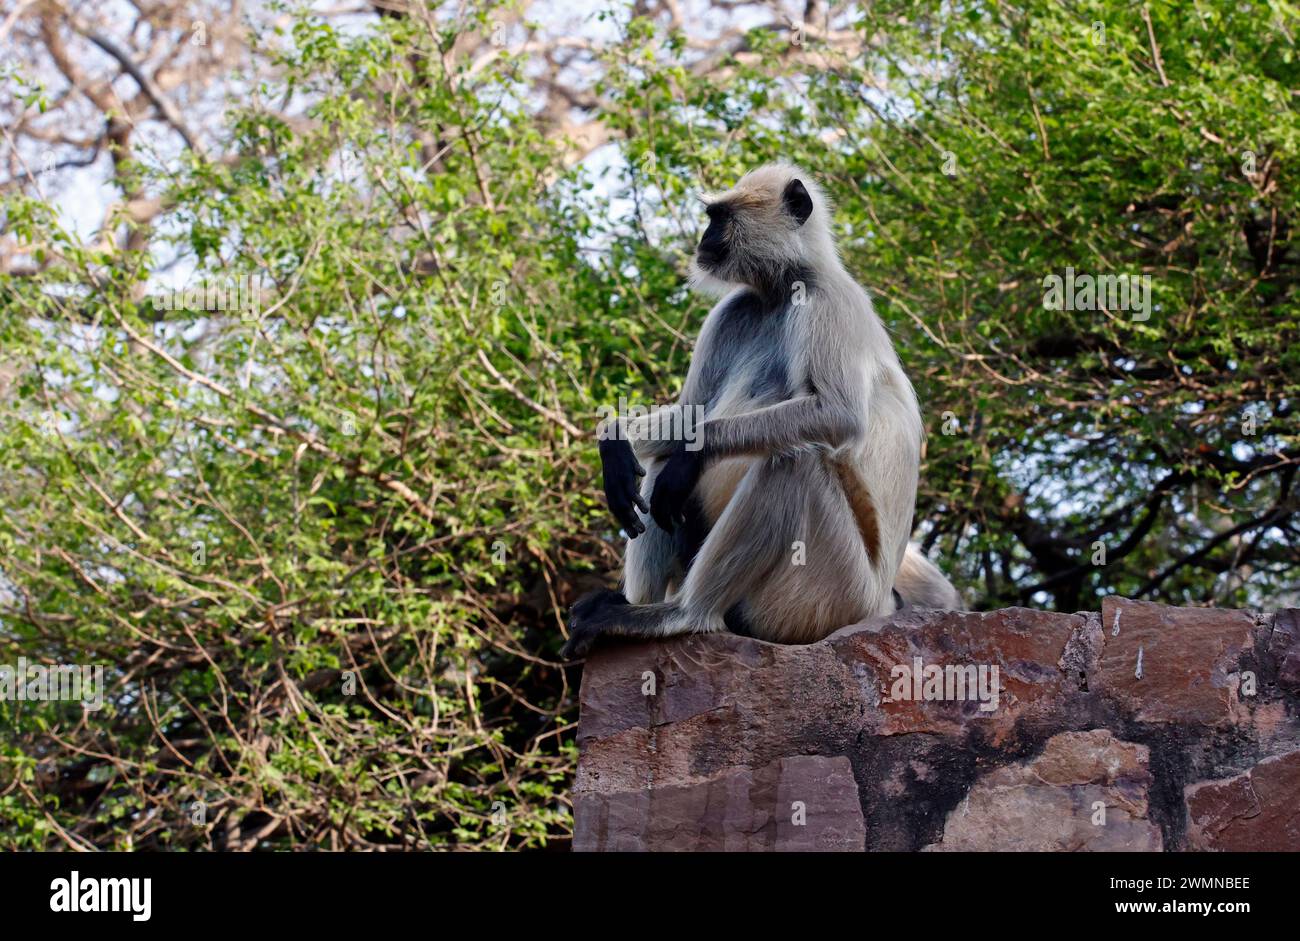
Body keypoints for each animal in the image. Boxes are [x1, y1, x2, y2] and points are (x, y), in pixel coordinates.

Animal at [564, 163, 958, 659]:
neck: (781, 291)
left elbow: (838, 416)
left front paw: (694, 451)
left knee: (793, 459)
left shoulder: (825, 299)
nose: (703, 239)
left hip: (827, 596)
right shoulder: (734, 310)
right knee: (662, 462)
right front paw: (614, 439)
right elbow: (689, 414)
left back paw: (681, 615)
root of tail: (876, 605)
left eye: (719, 218)